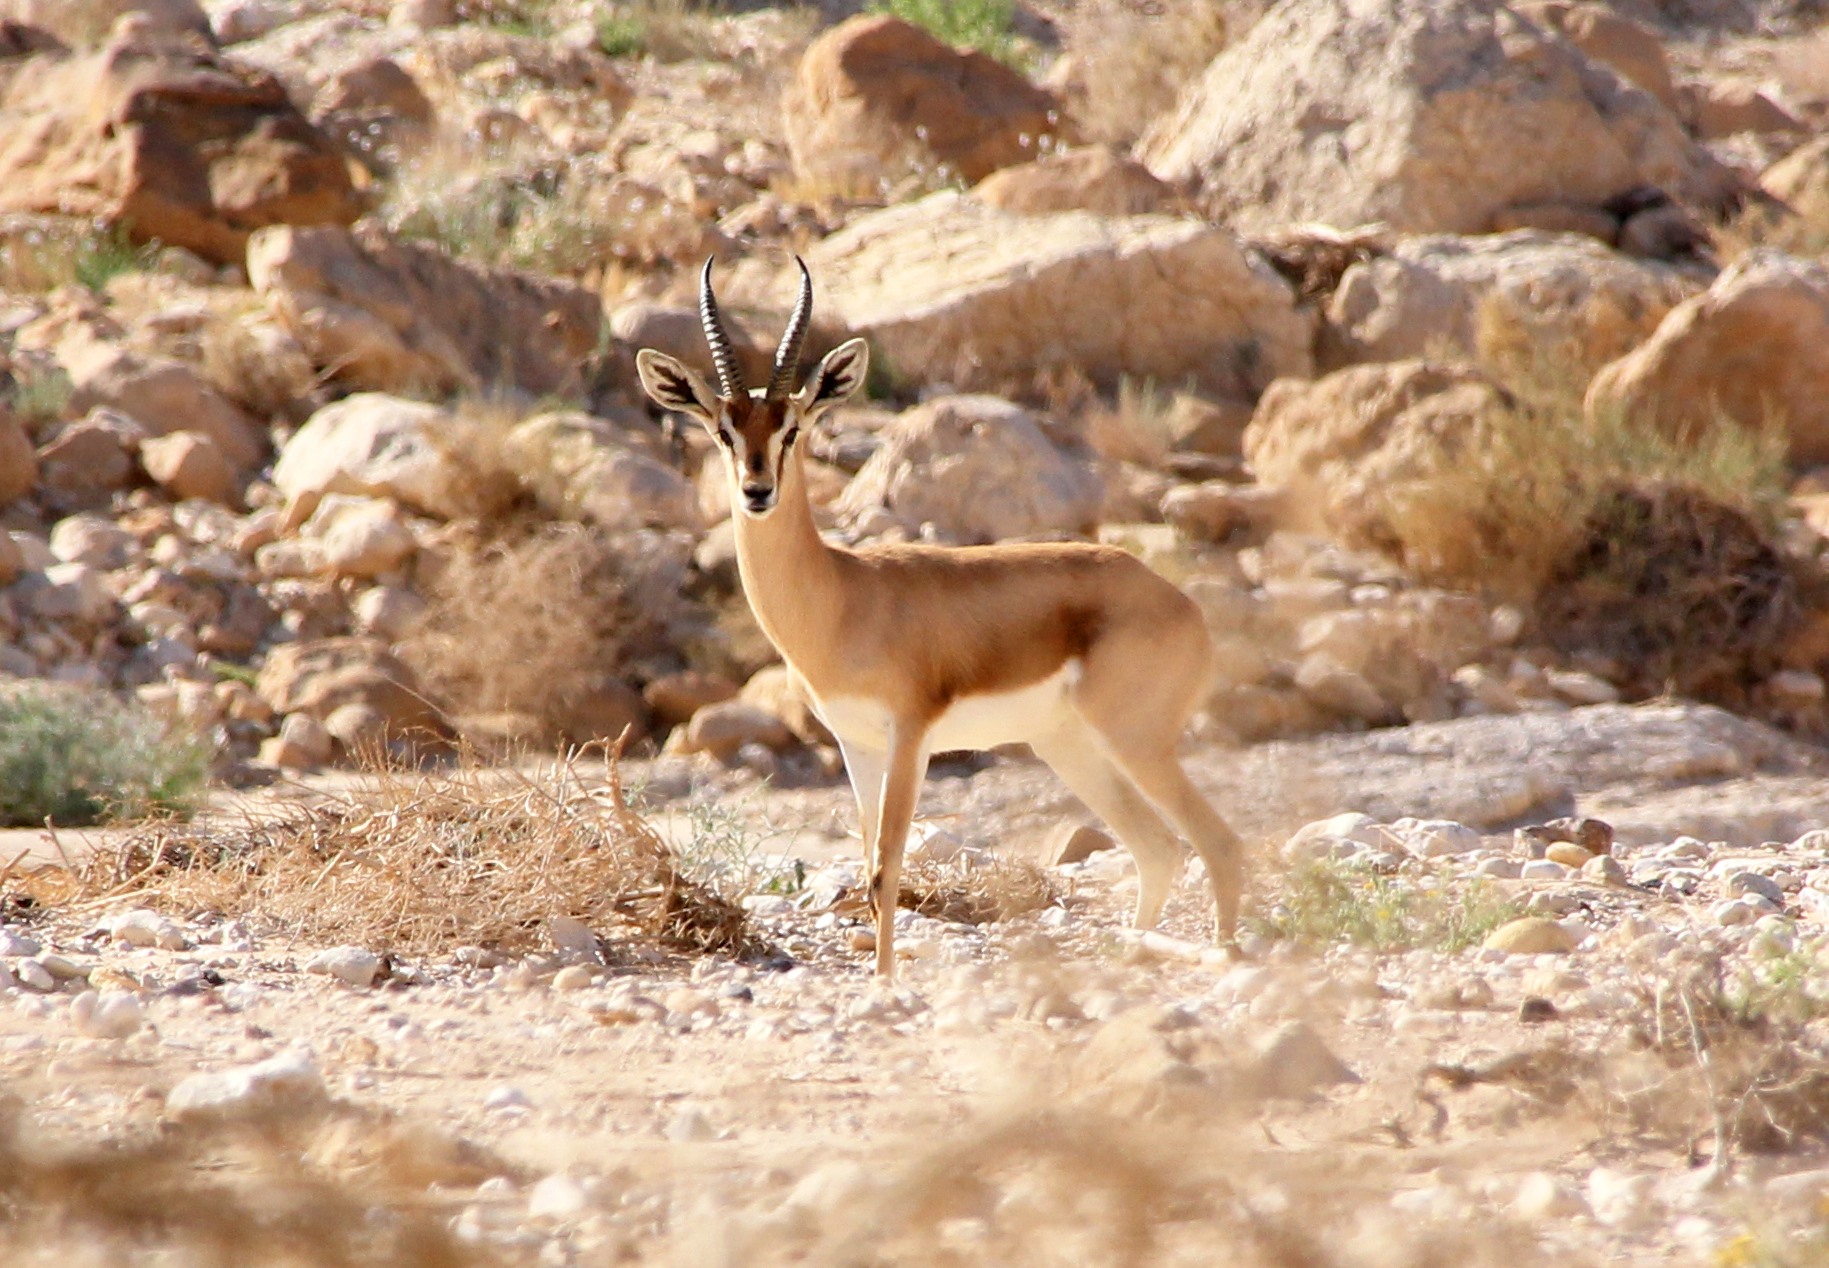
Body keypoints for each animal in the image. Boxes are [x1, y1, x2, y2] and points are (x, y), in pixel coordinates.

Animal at [636, 258, 1244, 975]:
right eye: (721, 429)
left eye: (793, 427)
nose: (758, 492)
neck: (842, 596)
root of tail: (1183, 606)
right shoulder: (857, 745)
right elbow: (866, 858)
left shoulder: (910, 735)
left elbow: (886, 867)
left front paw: (885, 983)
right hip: (1069, 746)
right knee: (1157, 847)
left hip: (1134, 739)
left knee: (1217, 843)